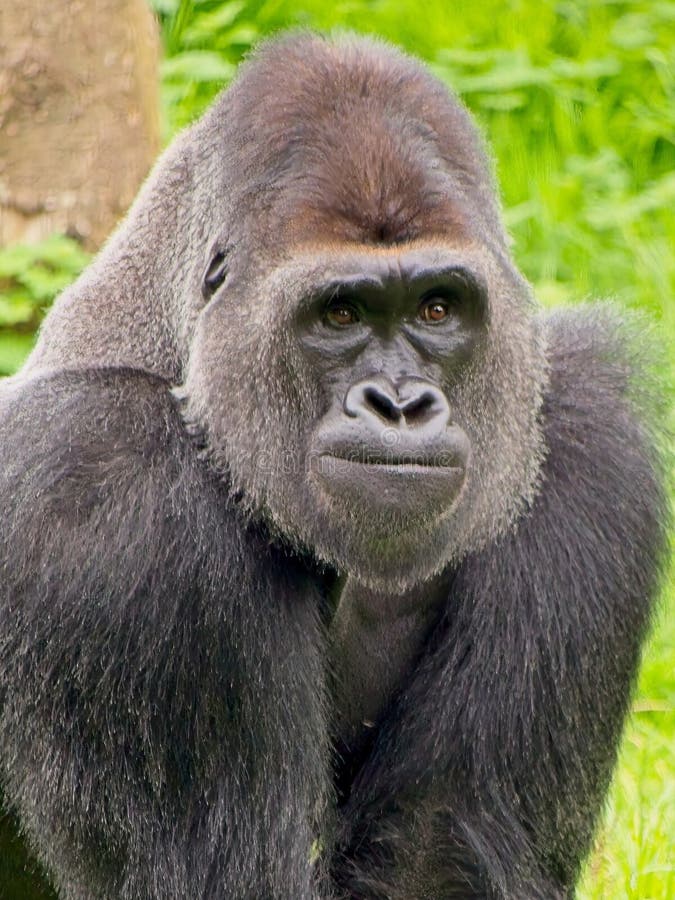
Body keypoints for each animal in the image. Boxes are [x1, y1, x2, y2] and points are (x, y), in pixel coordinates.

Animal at [0, 31, 666, 900]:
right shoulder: (106, 472)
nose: (398, 403)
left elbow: (440, 847)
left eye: (437, 308)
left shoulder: (582, 436)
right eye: (340, 314)